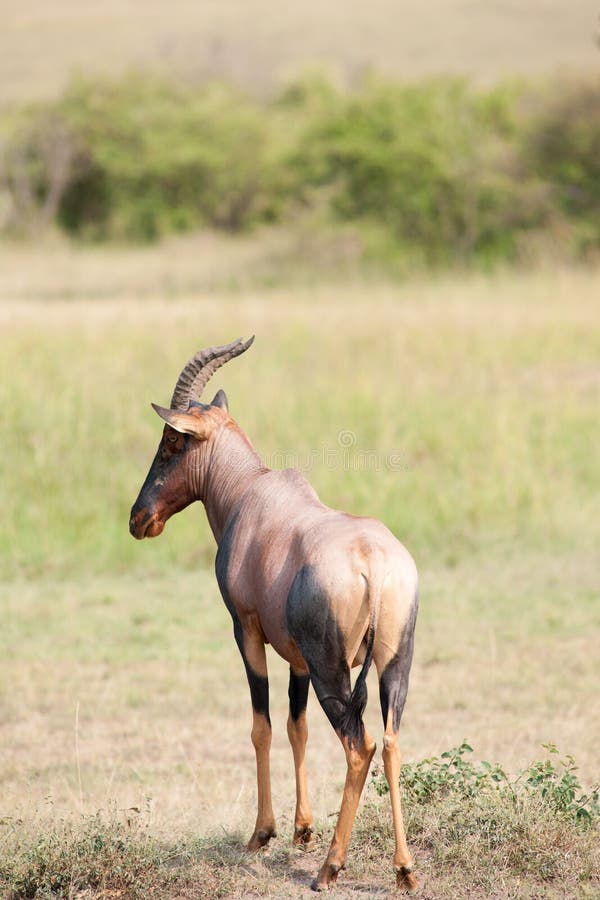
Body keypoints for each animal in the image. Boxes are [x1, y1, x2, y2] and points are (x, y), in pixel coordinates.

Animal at [129, 338, 419, 893]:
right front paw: (302, 829)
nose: (139, 519)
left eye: (172, 440)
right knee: (392, 741)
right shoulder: (297, 658)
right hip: (395, 664)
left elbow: (260, 725)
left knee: (360, 747)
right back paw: (405, 869)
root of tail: (373, 562)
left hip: (334, 671)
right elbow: (295, 726)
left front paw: (262, 834)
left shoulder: (246, 630)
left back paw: (330, 868)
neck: (251, 493)